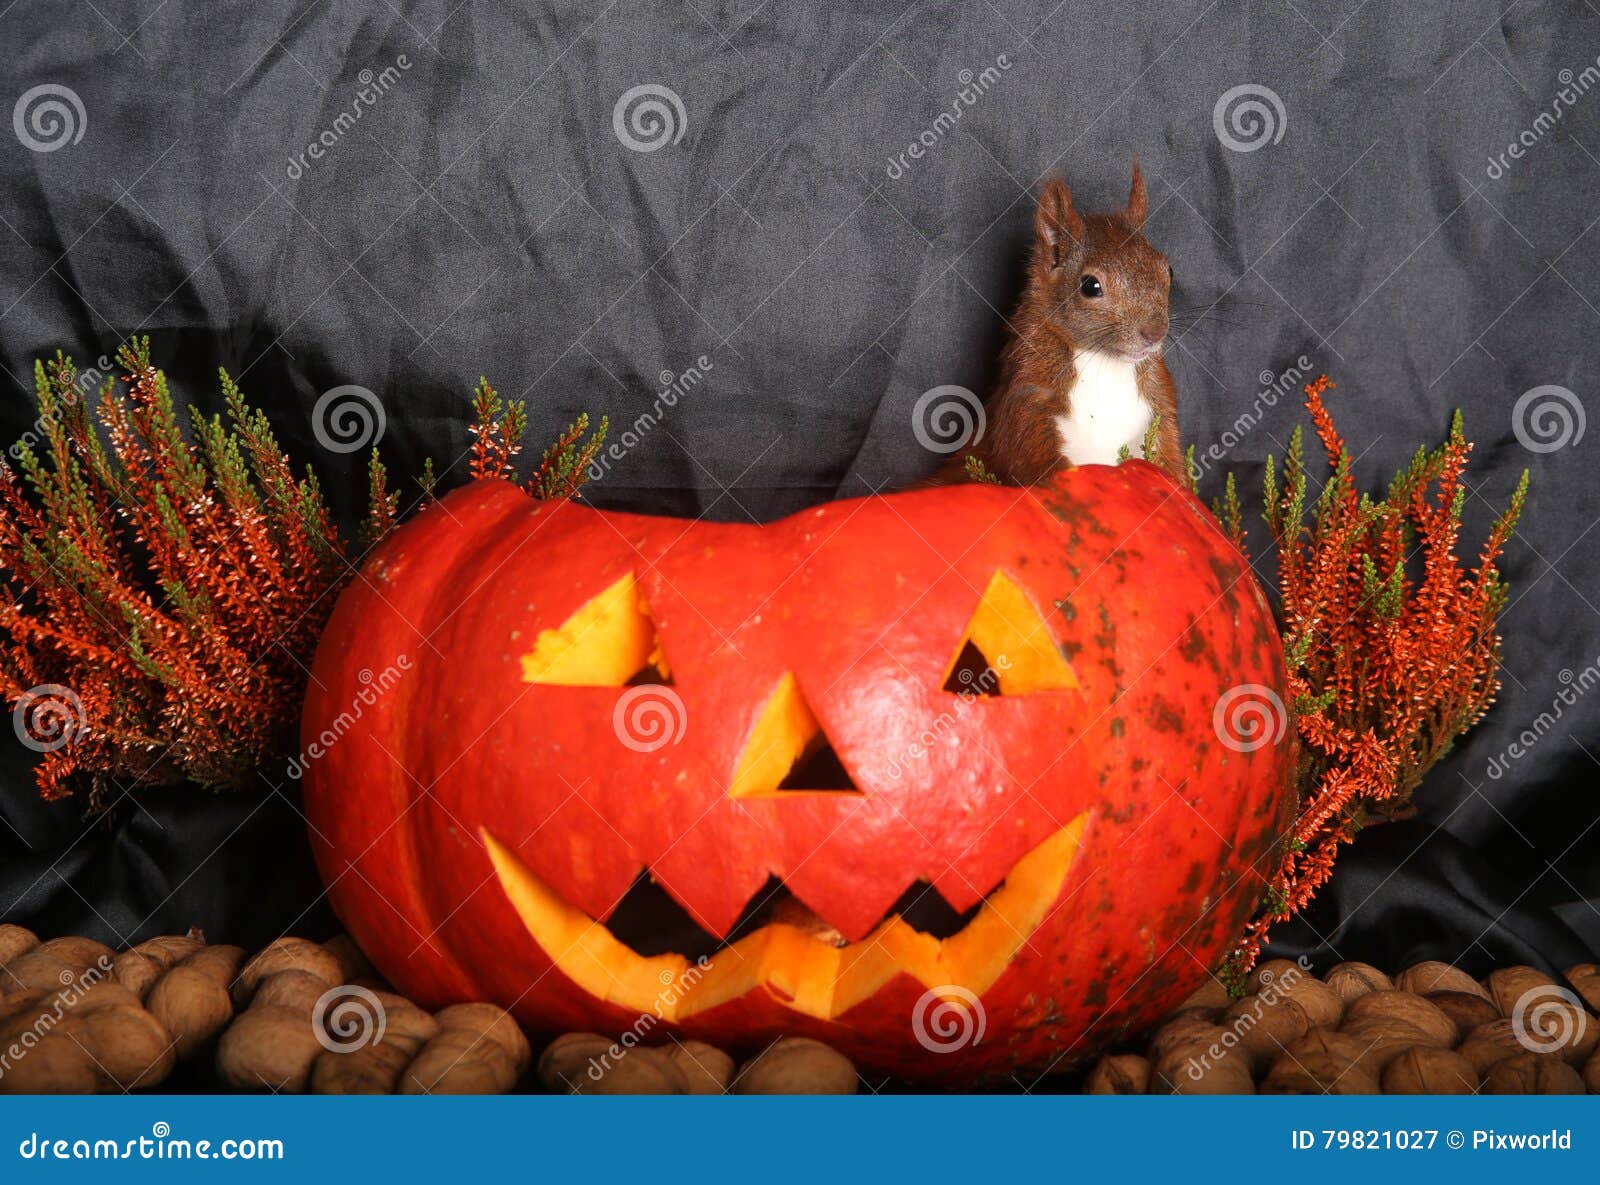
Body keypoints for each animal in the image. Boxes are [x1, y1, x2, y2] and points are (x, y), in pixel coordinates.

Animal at [936, 161, 1183, 484]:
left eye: (1168, 270)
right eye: (1090, 286)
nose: (1155, 332)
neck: (1105, 363)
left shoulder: (1160, 400)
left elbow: (1171, 455)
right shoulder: (1029, 393)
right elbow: (1030, 454)